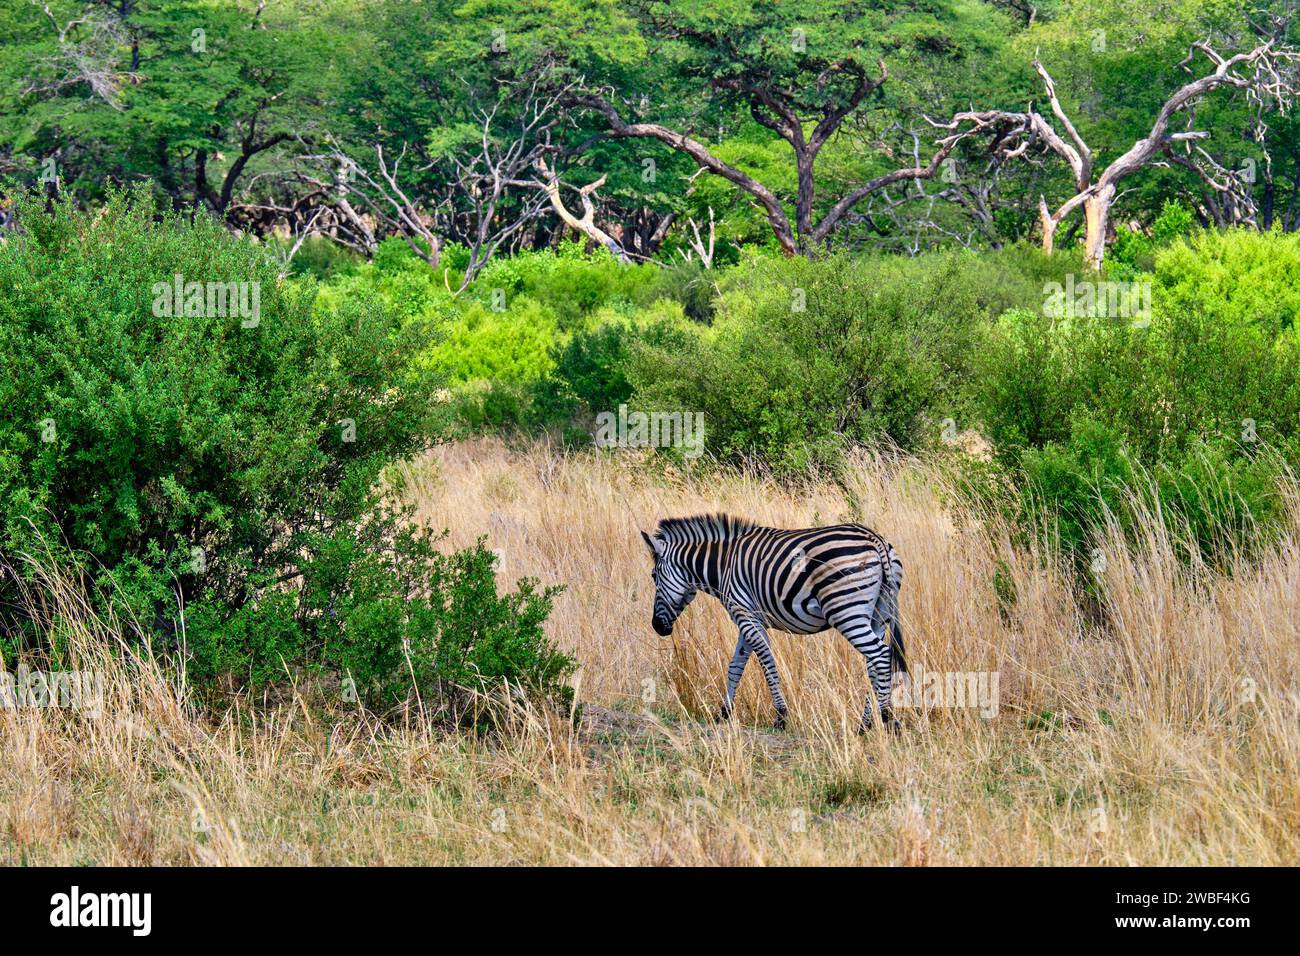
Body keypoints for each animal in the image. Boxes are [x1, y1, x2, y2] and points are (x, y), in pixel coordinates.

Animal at [641, 514, 907, 732]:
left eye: (653, 576)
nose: (657, 627)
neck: (723, 565)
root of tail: (875, 540)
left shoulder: (745, 614)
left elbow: (767, 664)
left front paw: (780, 717)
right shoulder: (749, 616)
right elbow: (735, 665)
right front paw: (724, 713)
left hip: (846, 611)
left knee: (881, 655)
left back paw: (887, 718)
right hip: (879, 615)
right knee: (873, 664)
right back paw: (865, 724)